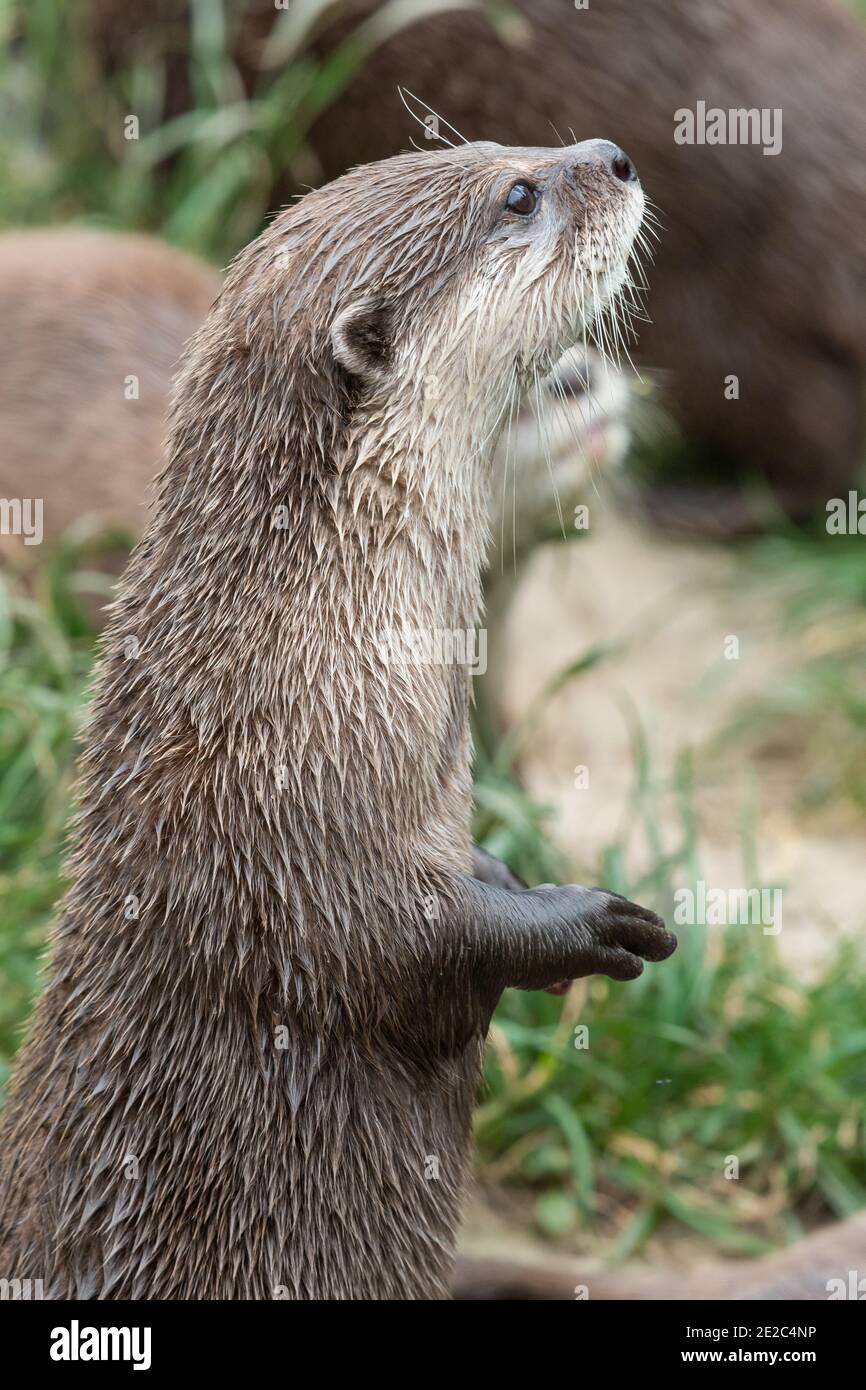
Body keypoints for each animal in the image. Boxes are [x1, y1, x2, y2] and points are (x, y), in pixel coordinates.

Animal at [0, 139, 675, 1300]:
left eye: (486, 147)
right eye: (515, 195)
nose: (612, 156)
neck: (306, 649)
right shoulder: (271, 816)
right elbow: (390, 946)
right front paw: (583, 921)